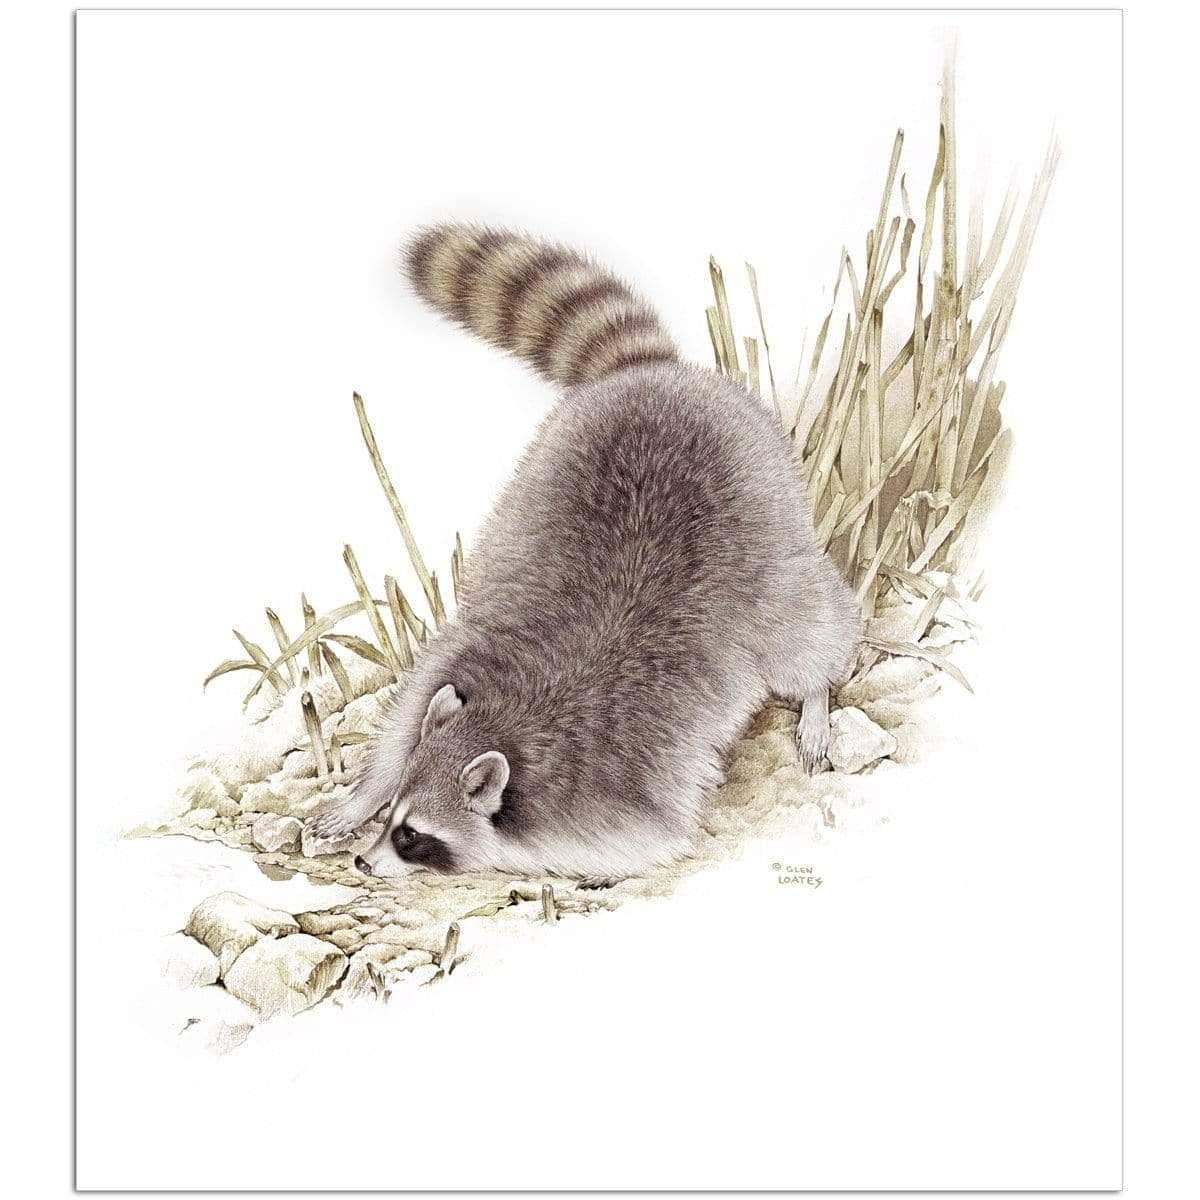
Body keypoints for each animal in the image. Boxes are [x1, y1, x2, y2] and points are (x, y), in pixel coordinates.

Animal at [308, 224, 861, 881]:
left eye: (413, 835)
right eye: (394, 815)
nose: (365, 864)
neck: (510, 723)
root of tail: (657, 373)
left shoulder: (622, 792)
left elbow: (643, 844)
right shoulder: (461, 659)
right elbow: (406, 716)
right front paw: (362, 792)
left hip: (771, 527)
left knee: (804, 632)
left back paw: (816, 696)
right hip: (549, 456)